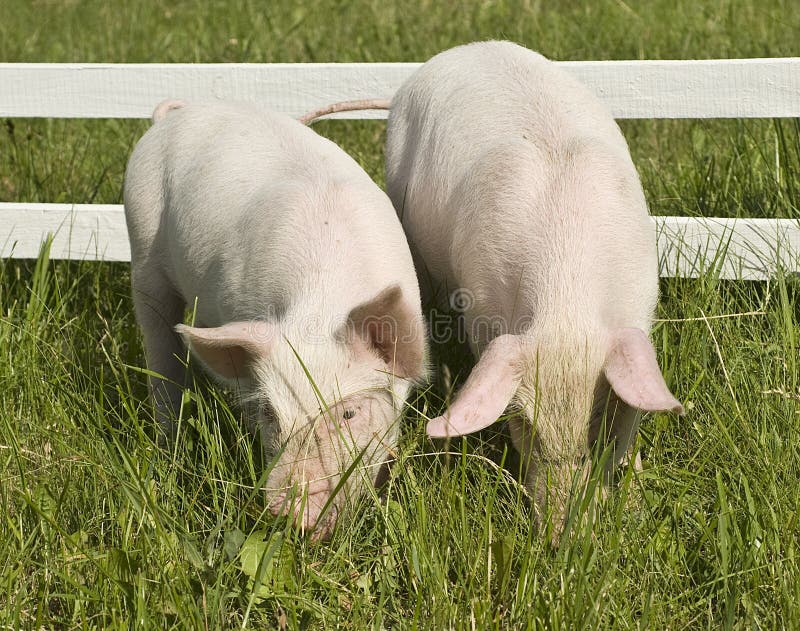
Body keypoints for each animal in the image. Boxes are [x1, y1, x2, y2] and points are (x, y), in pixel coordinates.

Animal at [123, 100, 427, 539]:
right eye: (271, 413)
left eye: (349, 414)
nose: (288, 510)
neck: (320, 306)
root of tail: (175, 114)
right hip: (142, 242)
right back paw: (168, 441)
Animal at [378, 41, 684, 532]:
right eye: (524, 423)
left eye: (600, 424)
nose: (565, 538)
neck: (566, 300)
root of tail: (460, 50)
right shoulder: (481, 314)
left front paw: (635, 499)